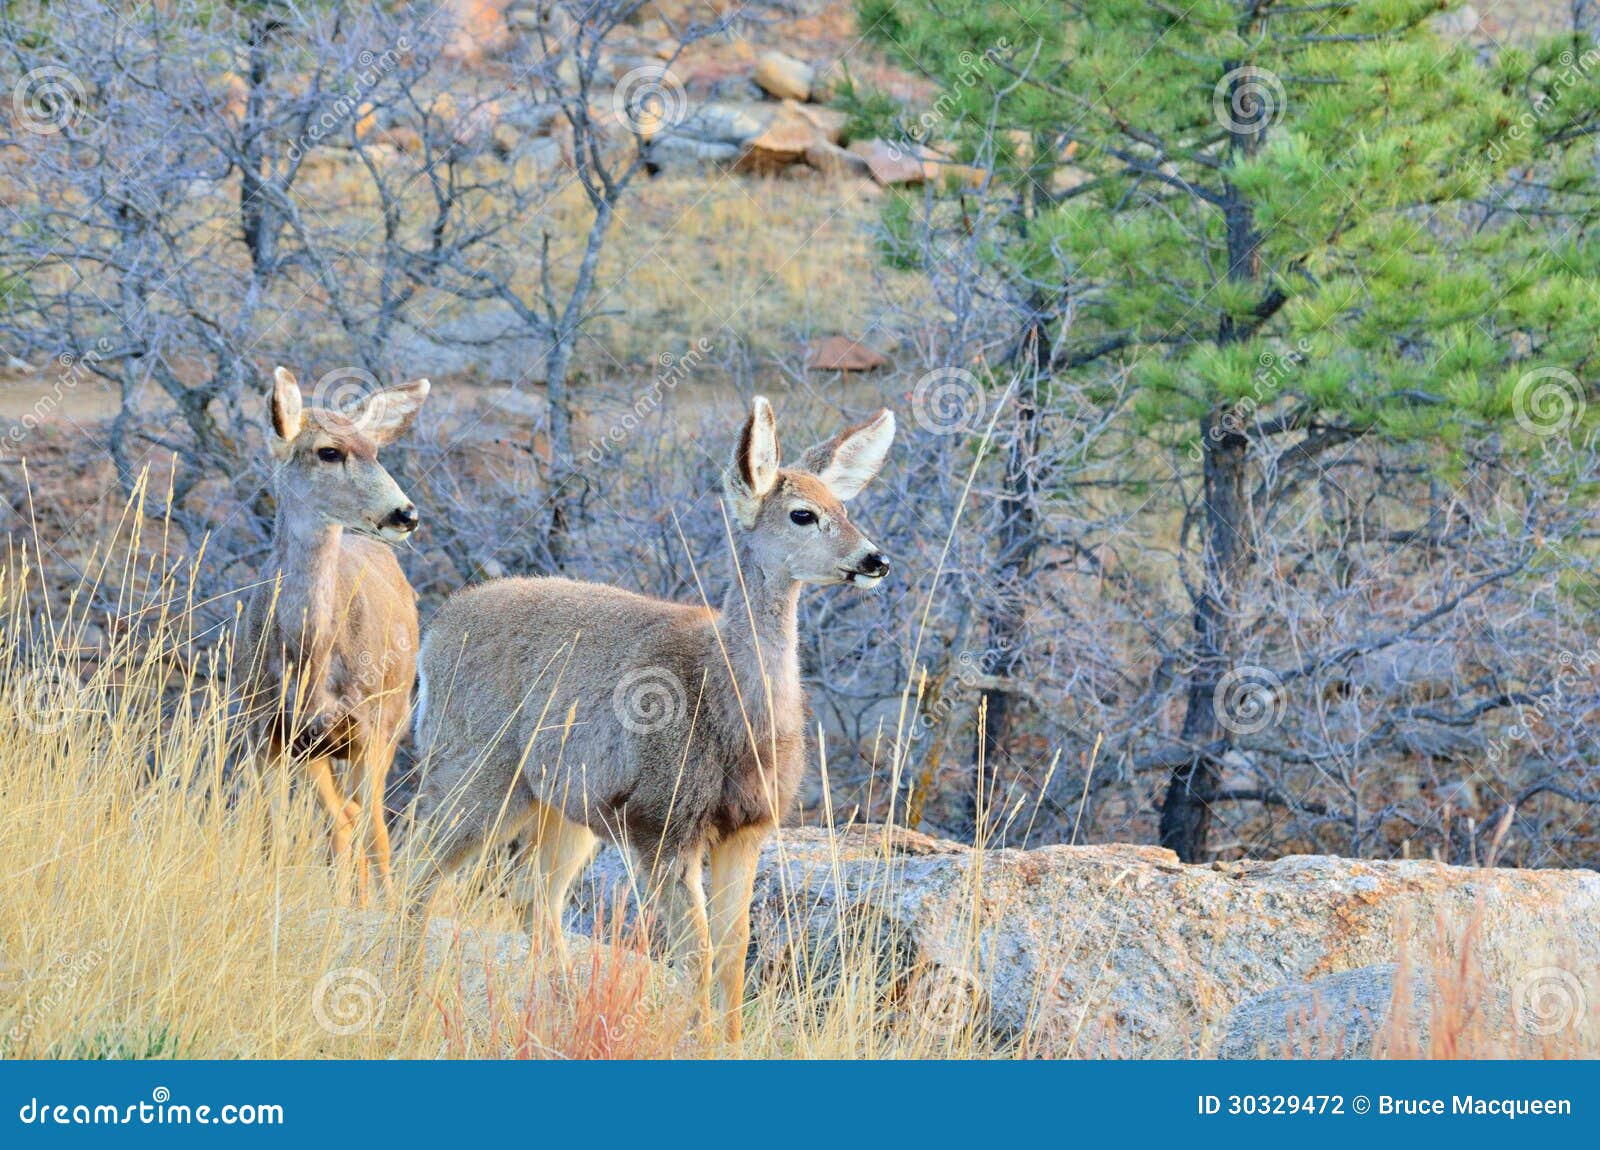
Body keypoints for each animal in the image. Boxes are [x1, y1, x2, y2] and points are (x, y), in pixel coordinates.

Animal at [235, 366, 430, 905]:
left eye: (375, 450)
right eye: (329, 451)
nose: (406, 514)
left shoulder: (370, 726)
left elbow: (376, 832)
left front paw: (386, 909)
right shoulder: (271, 732)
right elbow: (277, 831)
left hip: (393, 718)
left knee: (364, 820)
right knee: (342, 818)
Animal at [404, 396, 895, 1041]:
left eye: (846, 508)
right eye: (802, 514)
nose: (875, 559)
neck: (734, 711)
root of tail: (434, 634)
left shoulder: (749, 826)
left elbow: (734, 951)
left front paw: (731, 1043)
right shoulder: (660, 822)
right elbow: (697, 952)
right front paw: (702, 1042)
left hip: (564, 805)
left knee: (534, 896)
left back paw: (559, 1010)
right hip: (475, 769)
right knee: (419, 870)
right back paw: (402, 989)